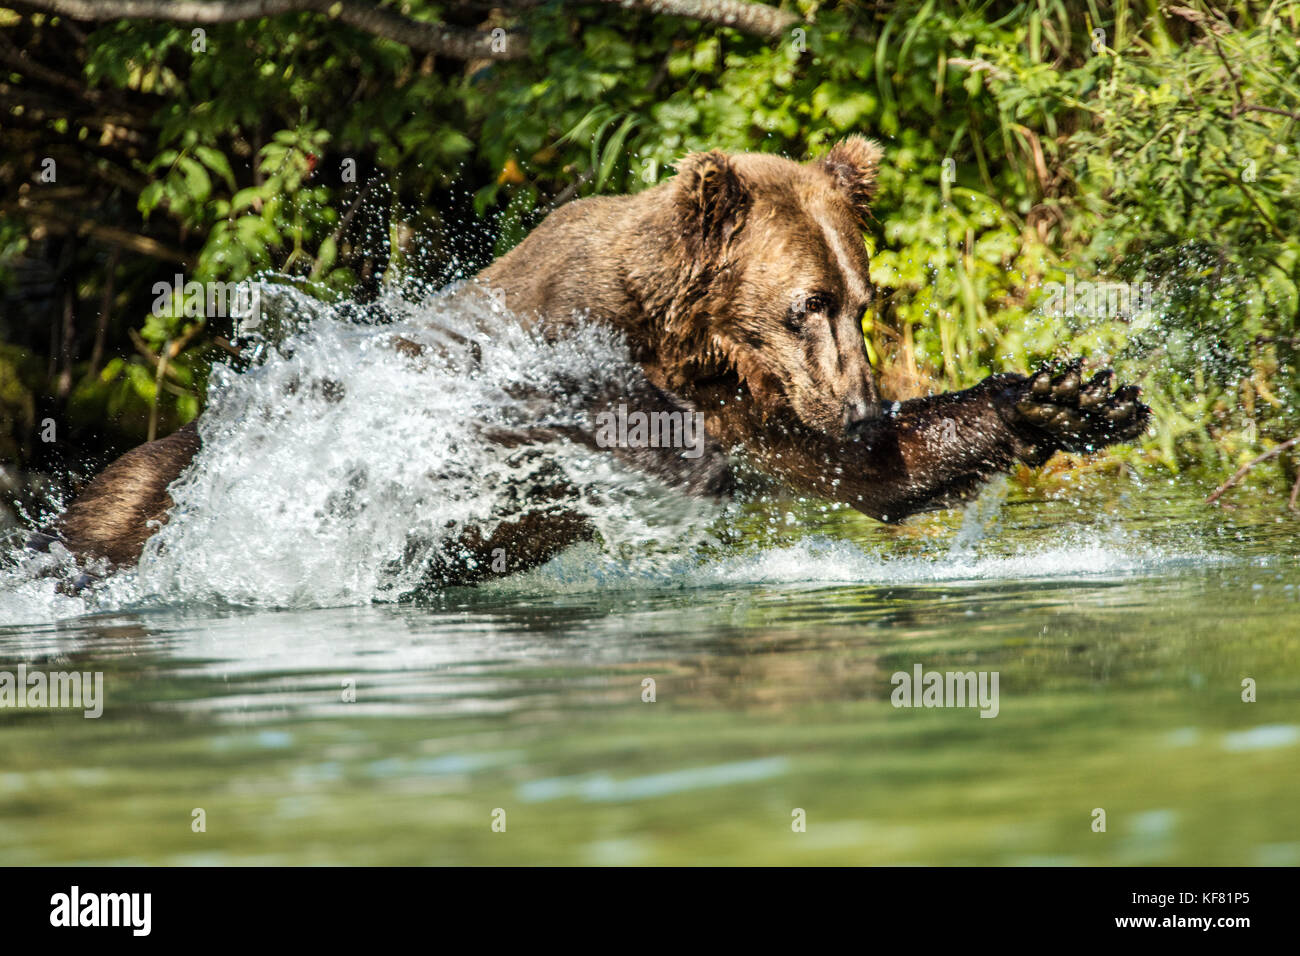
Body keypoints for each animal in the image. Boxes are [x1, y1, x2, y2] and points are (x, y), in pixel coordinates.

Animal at [54, 136, 1149, 583]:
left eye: (861, 302)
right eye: (805, 304)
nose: (862, 407)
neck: (685, 343)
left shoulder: (767, 406)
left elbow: (869, 479)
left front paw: (1070, 398)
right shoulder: (524, 352)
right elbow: (566, 418)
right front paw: (684, 459)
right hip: (149, 506)